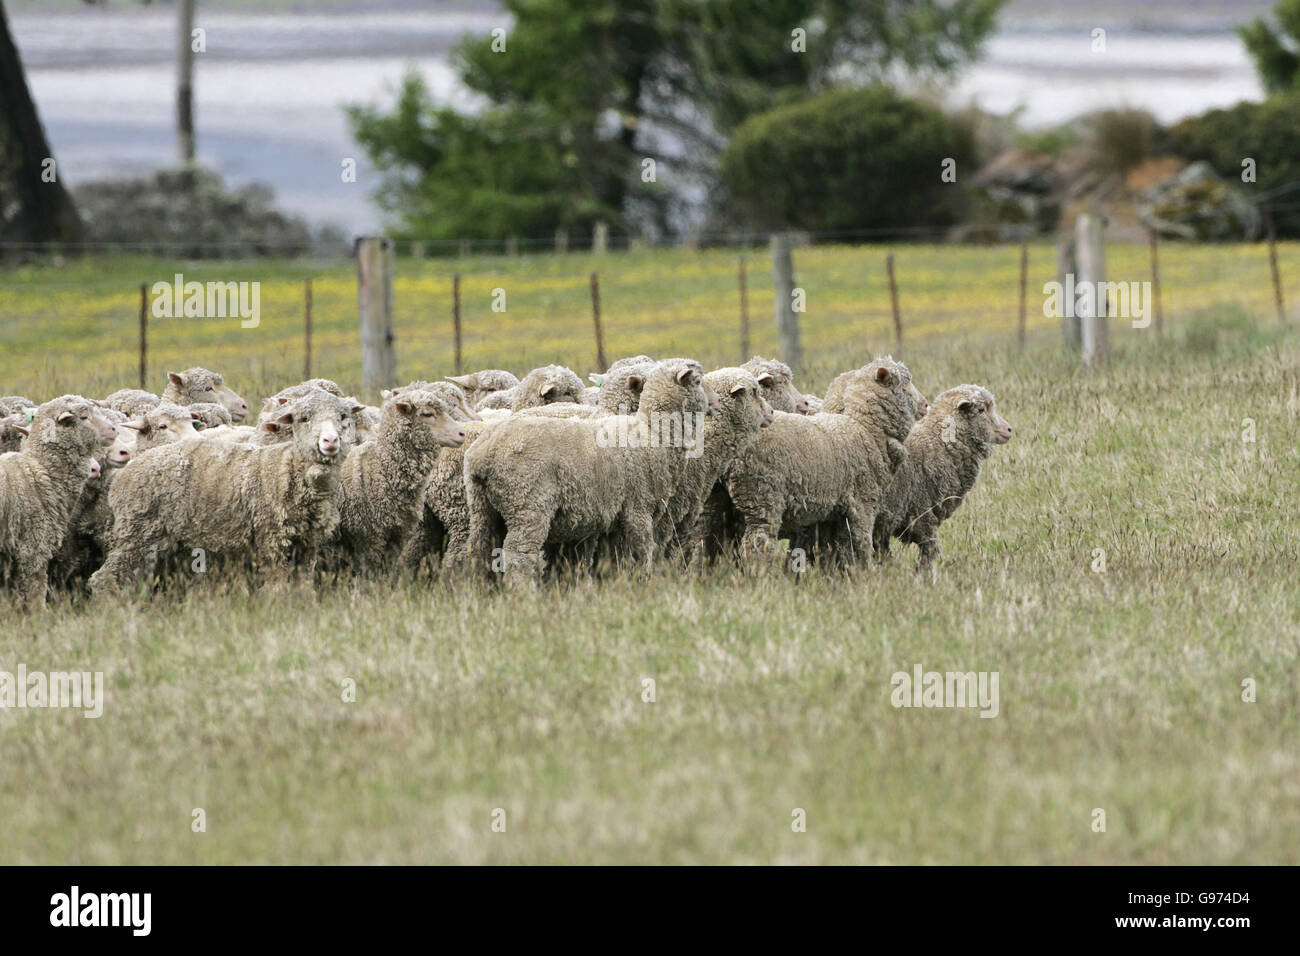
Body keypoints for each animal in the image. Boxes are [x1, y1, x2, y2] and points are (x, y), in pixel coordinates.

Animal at [0, 395, 117, 607]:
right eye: (84, 416)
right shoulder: (33, 547)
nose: (113, 429)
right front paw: (39, 615)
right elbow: (35, 592)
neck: (40, 471)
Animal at [88, 390, 359, 593]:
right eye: (304, 419)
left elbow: (303, 587)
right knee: (103, 578)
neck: (289, 467)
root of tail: (128, 469)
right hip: (136, 531)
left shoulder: (308, 543)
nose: (330, 441)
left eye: (343, 416)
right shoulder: (272, 537)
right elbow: (277, 586)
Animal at [330, 390, 467, 570]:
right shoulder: (368, 538)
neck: (381, 468)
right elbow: (369, 572)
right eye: (427, 414)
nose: (462, 433)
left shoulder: (397, 536)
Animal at [464, 359, 709, 585]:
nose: (711, 404)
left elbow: (616, 558)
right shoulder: (637, 508)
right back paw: (524, 593)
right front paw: (646, 582)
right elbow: (643, 550)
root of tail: (484, 453)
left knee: (479, 550)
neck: (654, 433)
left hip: (482, 508)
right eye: (698, 381)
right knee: (519, 556)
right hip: (526, 504)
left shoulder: (615, 517)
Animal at [717, 358, 920, 569]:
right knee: (757, 544)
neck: (865, 428)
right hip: (763, 494)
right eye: (906, 382)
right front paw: (868, 572)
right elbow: (862, 544)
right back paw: (761, 573)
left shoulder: (840, 514)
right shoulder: (863, 503)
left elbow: (845, 548)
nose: (925, 404)